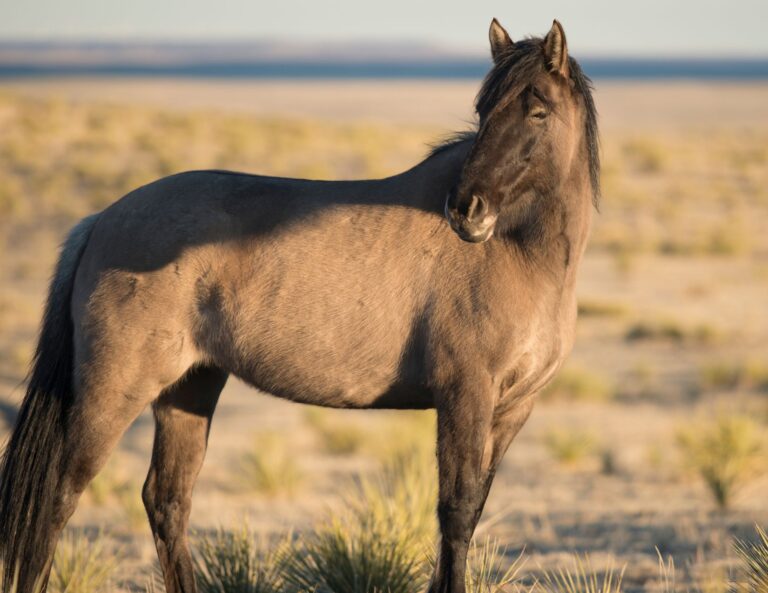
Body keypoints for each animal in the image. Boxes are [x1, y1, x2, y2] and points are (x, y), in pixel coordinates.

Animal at [0, 18, 599, 593]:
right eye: (483, 110)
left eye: (538, 110)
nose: (466, 210)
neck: (519, 253)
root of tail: (100, 220)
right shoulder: (464, 397)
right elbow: (455, 513)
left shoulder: (512, 409)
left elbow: (470, 514)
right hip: (114, 390)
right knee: (58, 497)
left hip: (189, 387)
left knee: (167, 500)